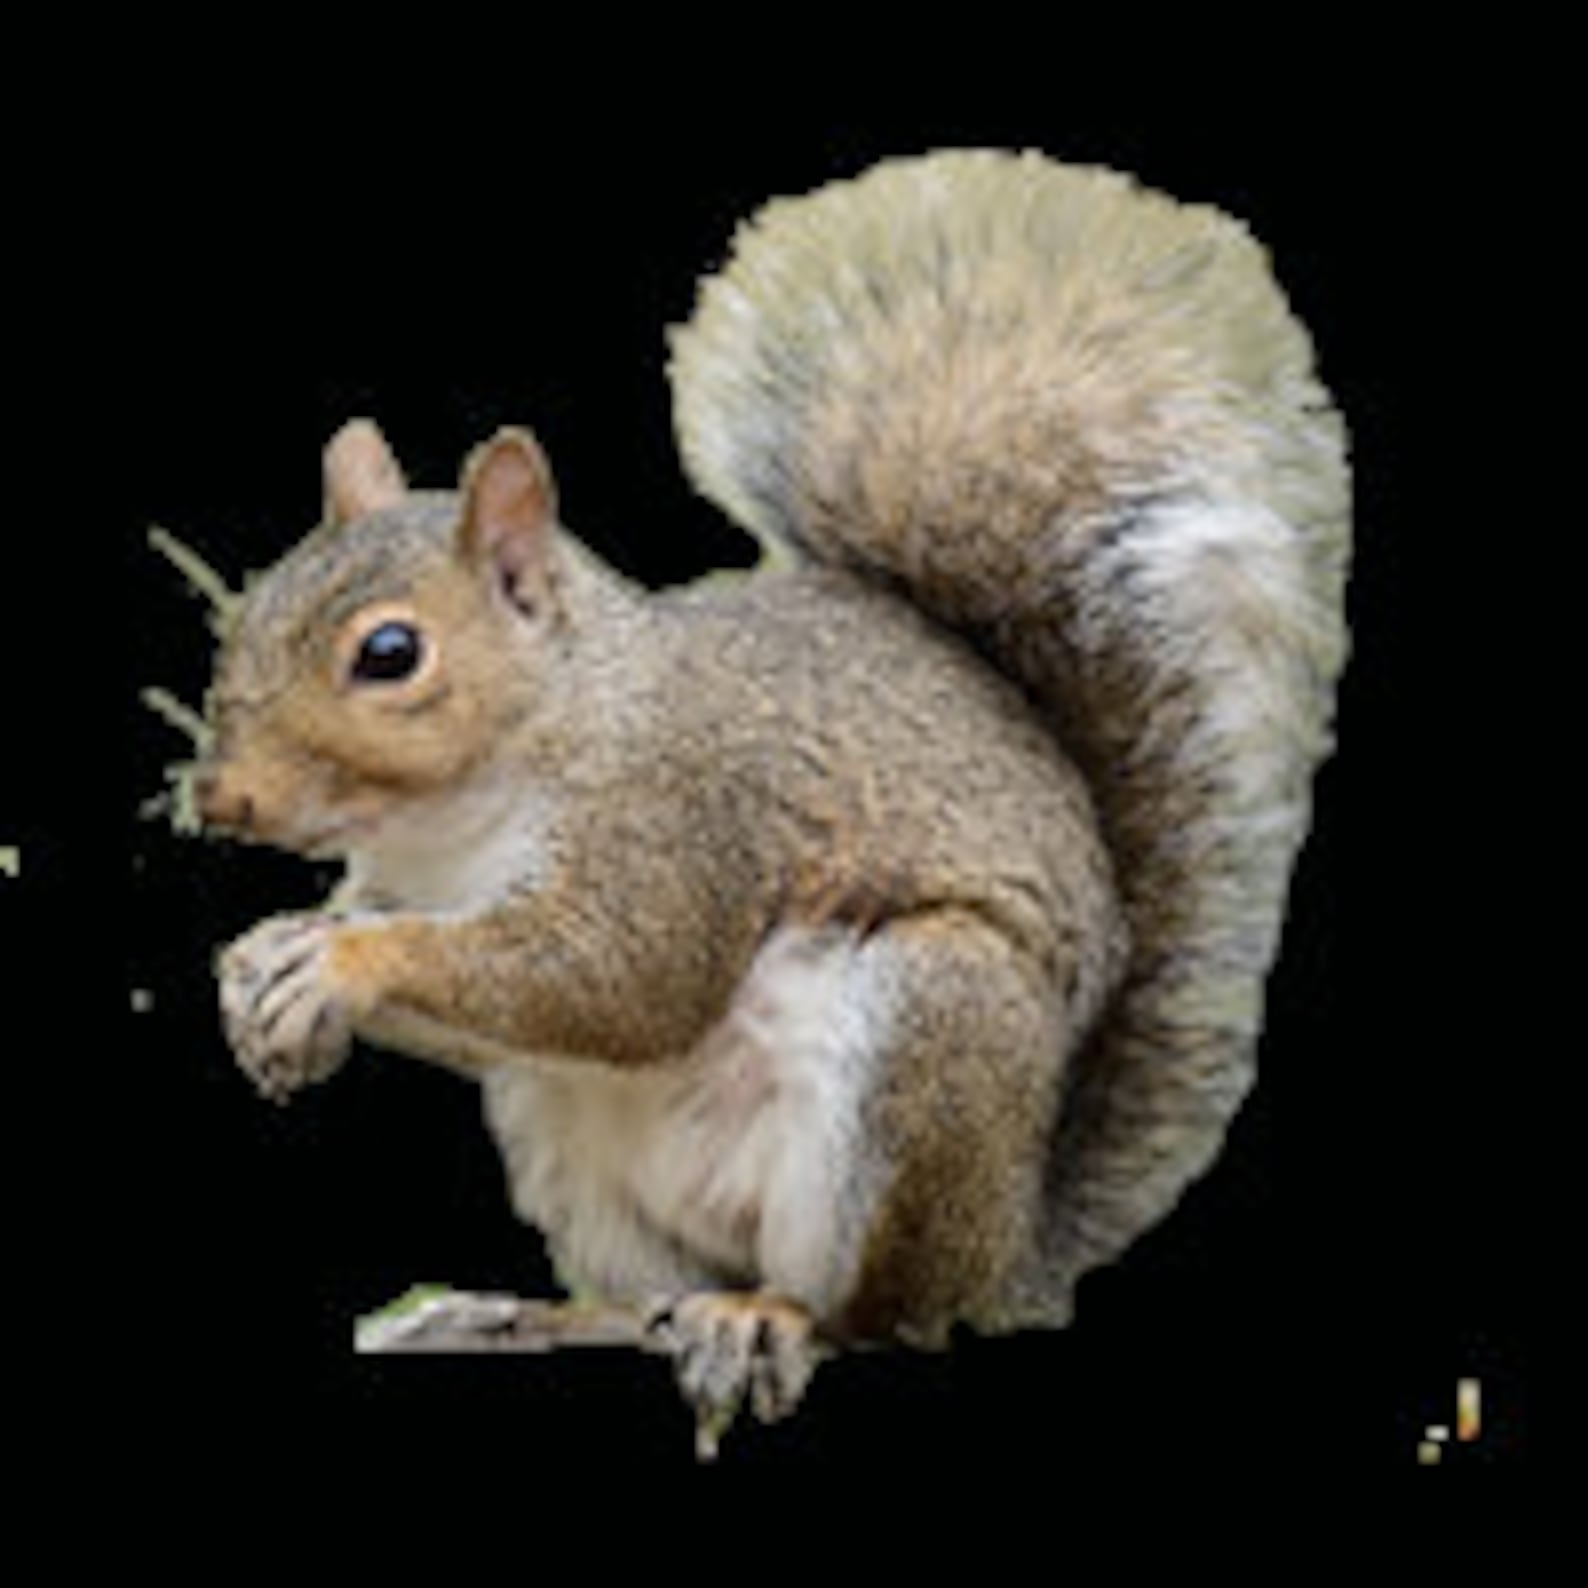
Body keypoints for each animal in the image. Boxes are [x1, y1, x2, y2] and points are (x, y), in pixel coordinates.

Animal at [189, 149, 1348, 1443]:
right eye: (256, 603)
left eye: (389, 653)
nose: (222, 799)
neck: (465, 814)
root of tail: (1007, 1250)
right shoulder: (408, 877)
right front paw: (259, 963)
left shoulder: (682, 819)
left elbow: (616, 980)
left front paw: (338, 964)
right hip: (565, 1145)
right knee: (652, 1301)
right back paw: (515, 1315)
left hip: (932, 1034)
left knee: (868, 1314)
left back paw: (766, 1321)